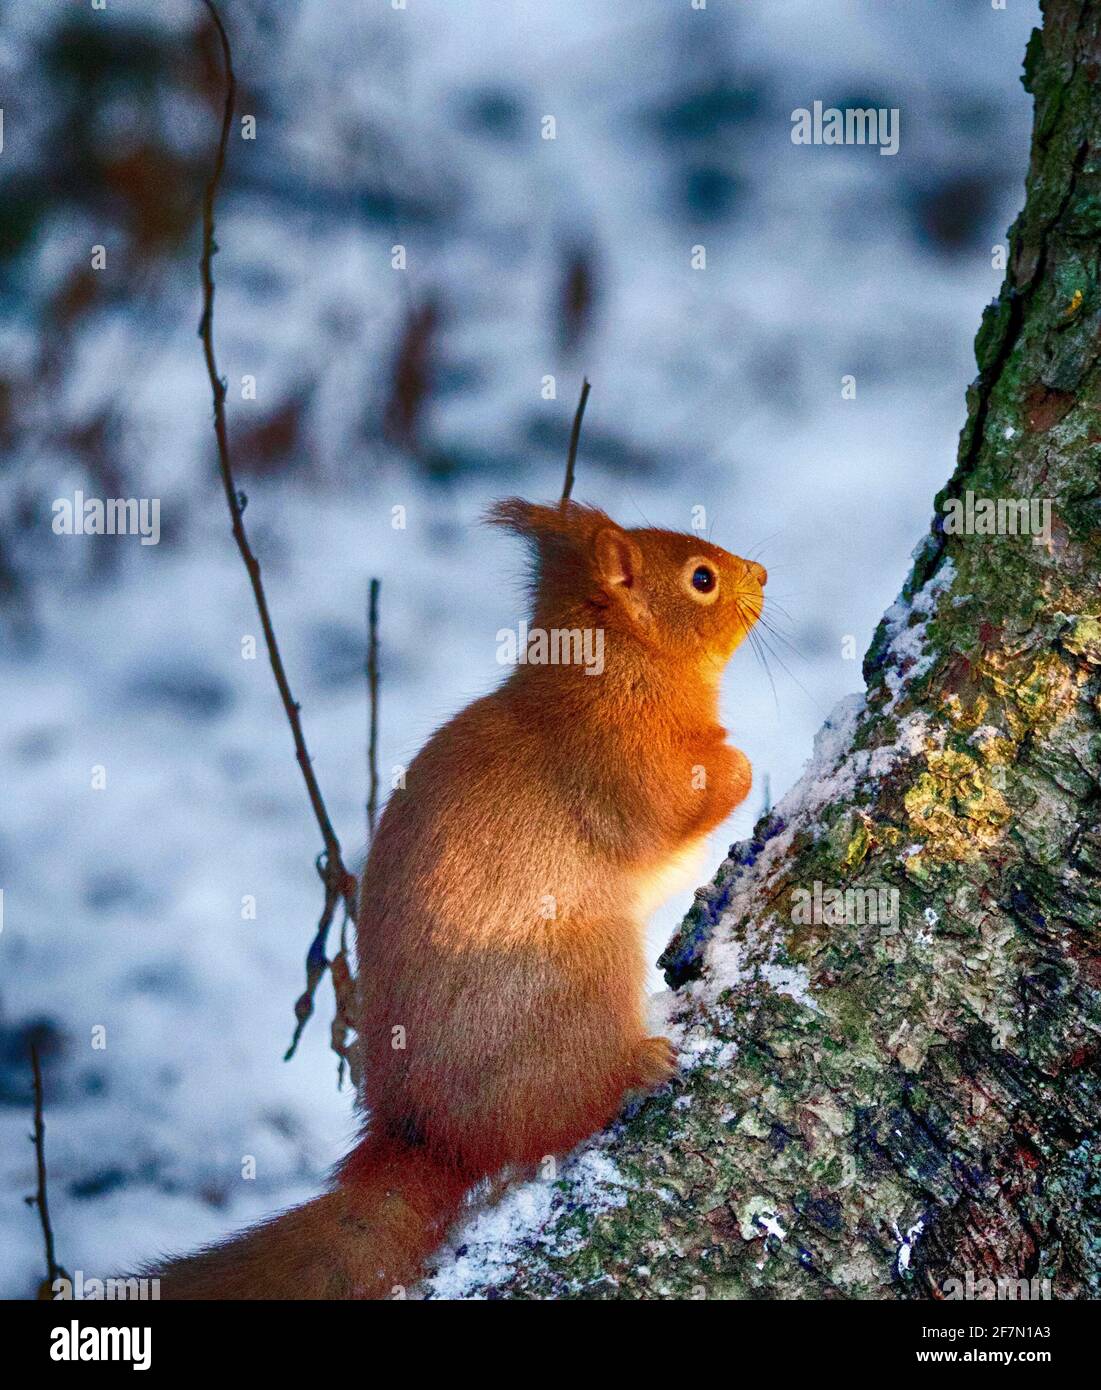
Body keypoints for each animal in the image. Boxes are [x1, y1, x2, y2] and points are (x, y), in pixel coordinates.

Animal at [150, 498, 765, 1298]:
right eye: (701, 579)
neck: (618, 672)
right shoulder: (619, 760)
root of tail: (429, 1134)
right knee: (553, 1112)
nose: (760, 572)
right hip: (578, 975)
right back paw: (636, 1068)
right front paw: (739, 763)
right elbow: (676, 805)